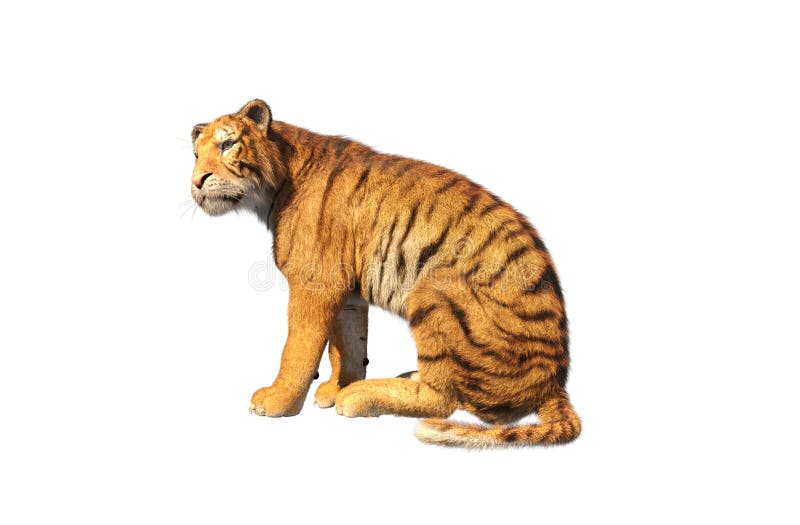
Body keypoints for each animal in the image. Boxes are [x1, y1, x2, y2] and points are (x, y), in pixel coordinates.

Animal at [189, 99, 581, 448]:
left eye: (227, 144)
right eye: (195, 154)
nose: (196, 182)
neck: (274, 186)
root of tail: (554, 383)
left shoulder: (314, 283)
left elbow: (298, 350)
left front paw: (277, 401)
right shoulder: (346, 293)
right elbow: (347, 346)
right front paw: (337, 387)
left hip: (433, 287)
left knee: (441, 400)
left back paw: (361, 397)